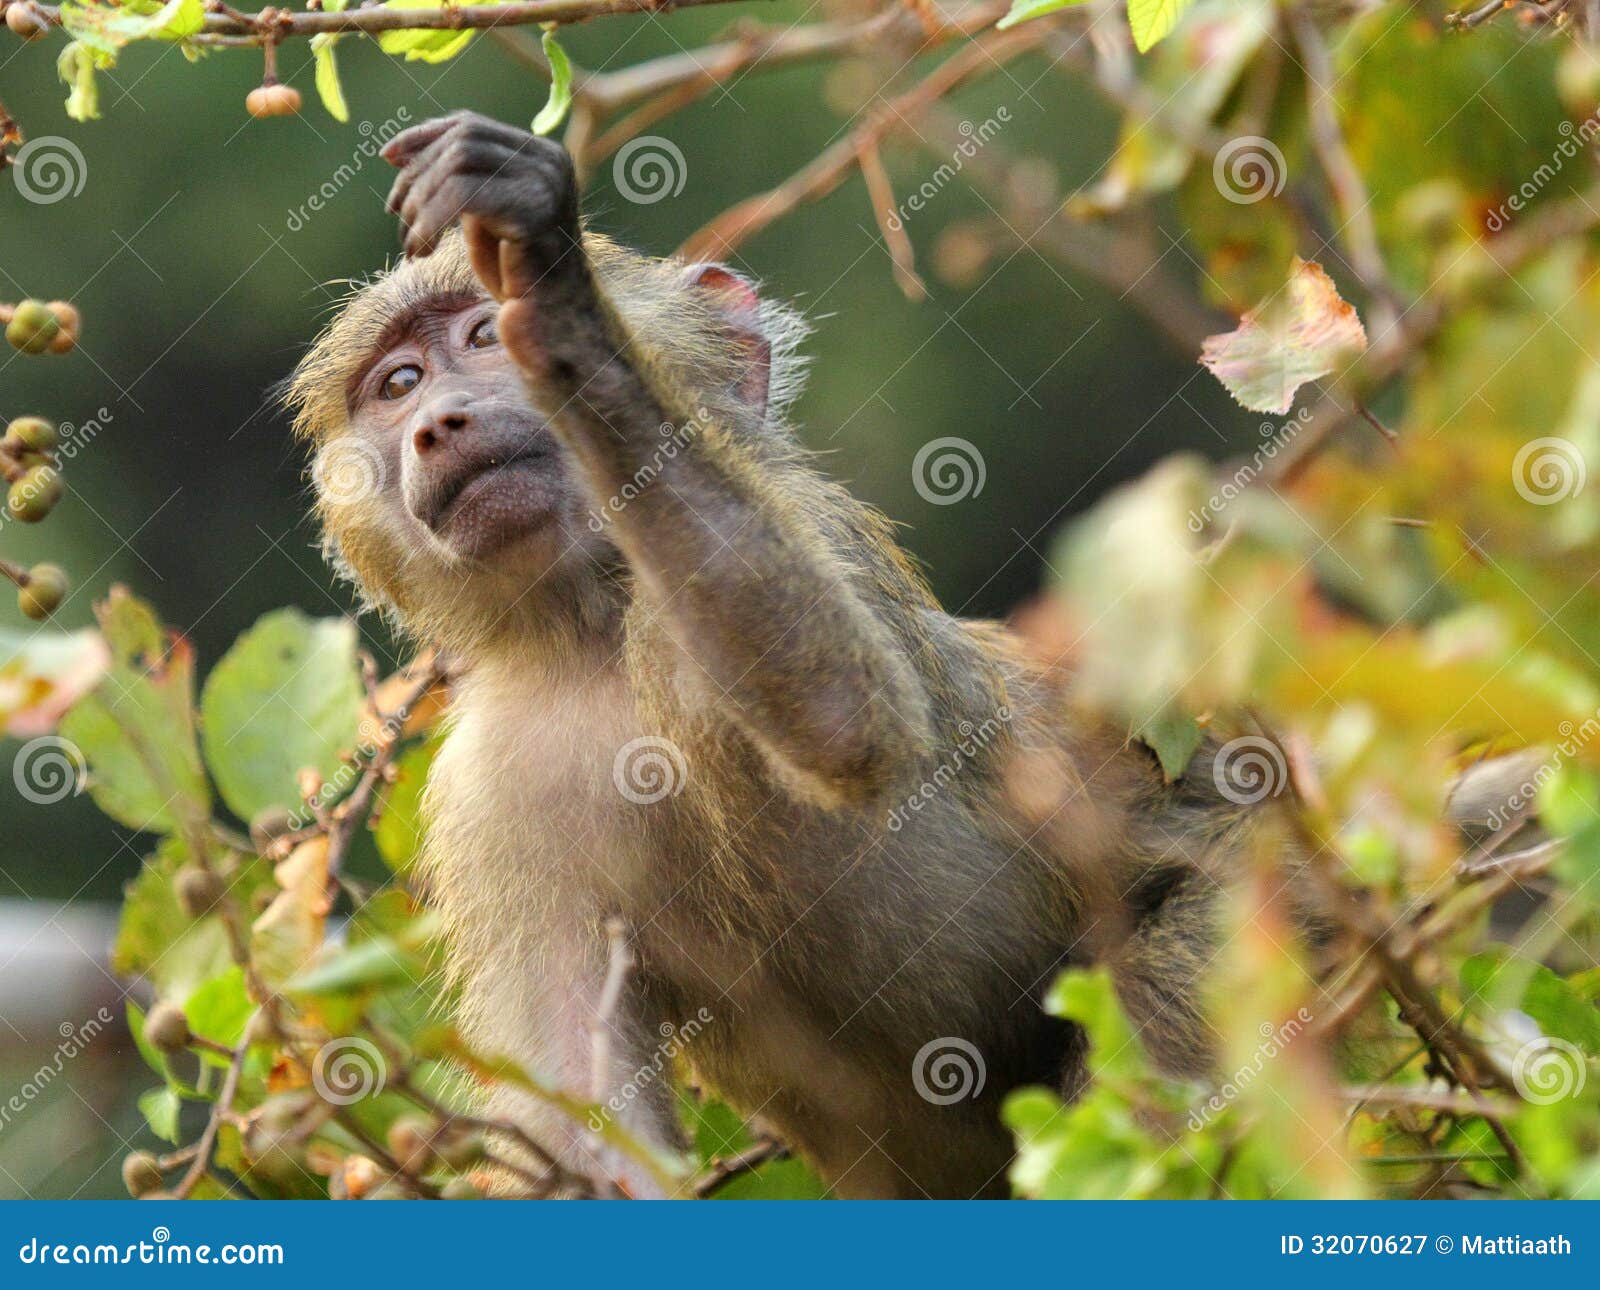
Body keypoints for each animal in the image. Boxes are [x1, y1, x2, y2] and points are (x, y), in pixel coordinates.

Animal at [283, 112, 1288, 1199]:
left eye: (474, 337)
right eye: (398, 385)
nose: (437, 424)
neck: (591, 633)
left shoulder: (807, 526)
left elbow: (849, 723)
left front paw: (560, 311)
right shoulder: (490, 794)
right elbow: (579, 1120)